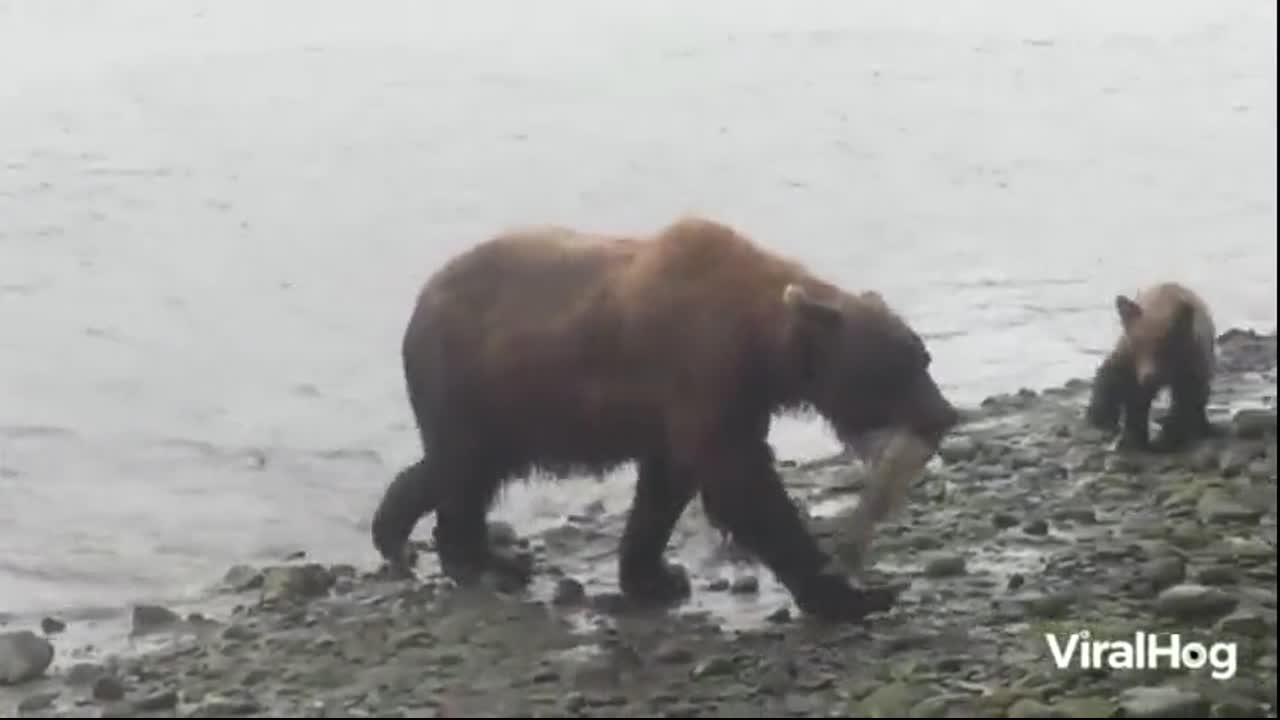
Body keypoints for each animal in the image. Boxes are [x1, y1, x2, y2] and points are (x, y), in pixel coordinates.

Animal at [370, 215, 960, 623]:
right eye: (896, 370)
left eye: (923, 357)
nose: (944, 413)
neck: (764, 342)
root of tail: (419, 301)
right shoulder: (701, 370)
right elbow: (741, 484)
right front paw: (853, 594)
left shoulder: (699, 402)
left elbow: (666, 486)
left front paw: (655, 576)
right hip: (475, 379)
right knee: (463, 469)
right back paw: (481, 560)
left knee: (460, 467)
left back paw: (408, 536)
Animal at [1085, 281, 1217, 452]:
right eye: (1138, 343)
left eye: (1166, 346)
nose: (1150, 377)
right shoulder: (1129, 356)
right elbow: (1114, 379)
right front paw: (1103, 420)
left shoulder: (1190, 362)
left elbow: (1187, 398)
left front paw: (1167, 437)